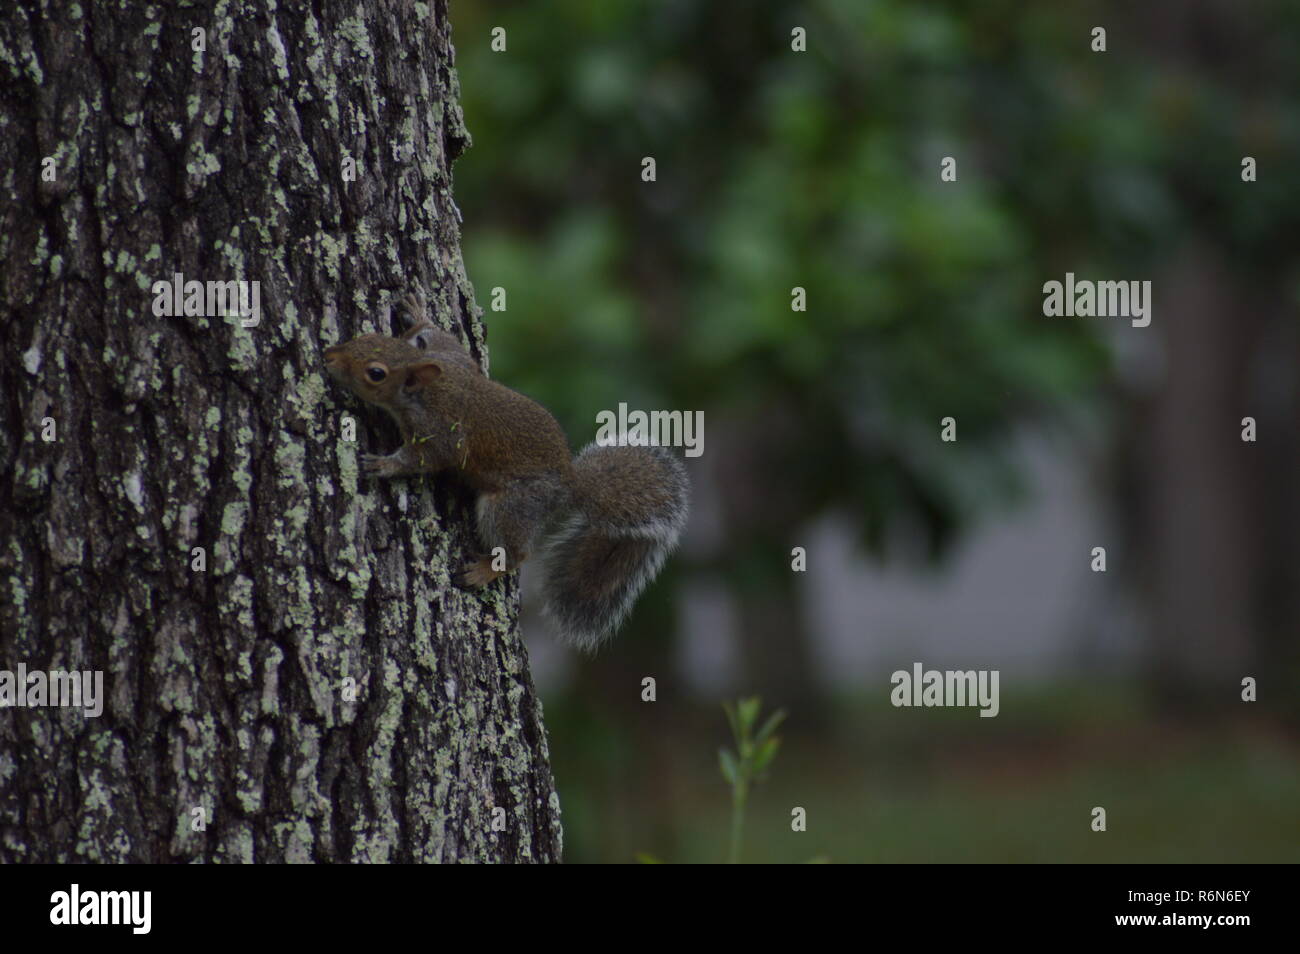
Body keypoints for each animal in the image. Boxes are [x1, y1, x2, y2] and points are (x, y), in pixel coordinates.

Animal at [322, 293, 689, 650]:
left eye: (376, 373)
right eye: (367, 338)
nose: (328, 356)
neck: (427, 390)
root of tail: (568, 482)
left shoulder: (443, 433)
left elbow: (429, 458)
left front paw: (385, 464)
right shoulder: (454, 362)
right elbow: (452, 347)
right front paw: (420, 313)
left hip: (509, 505)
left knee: (518, 553)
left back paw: (484, 571)